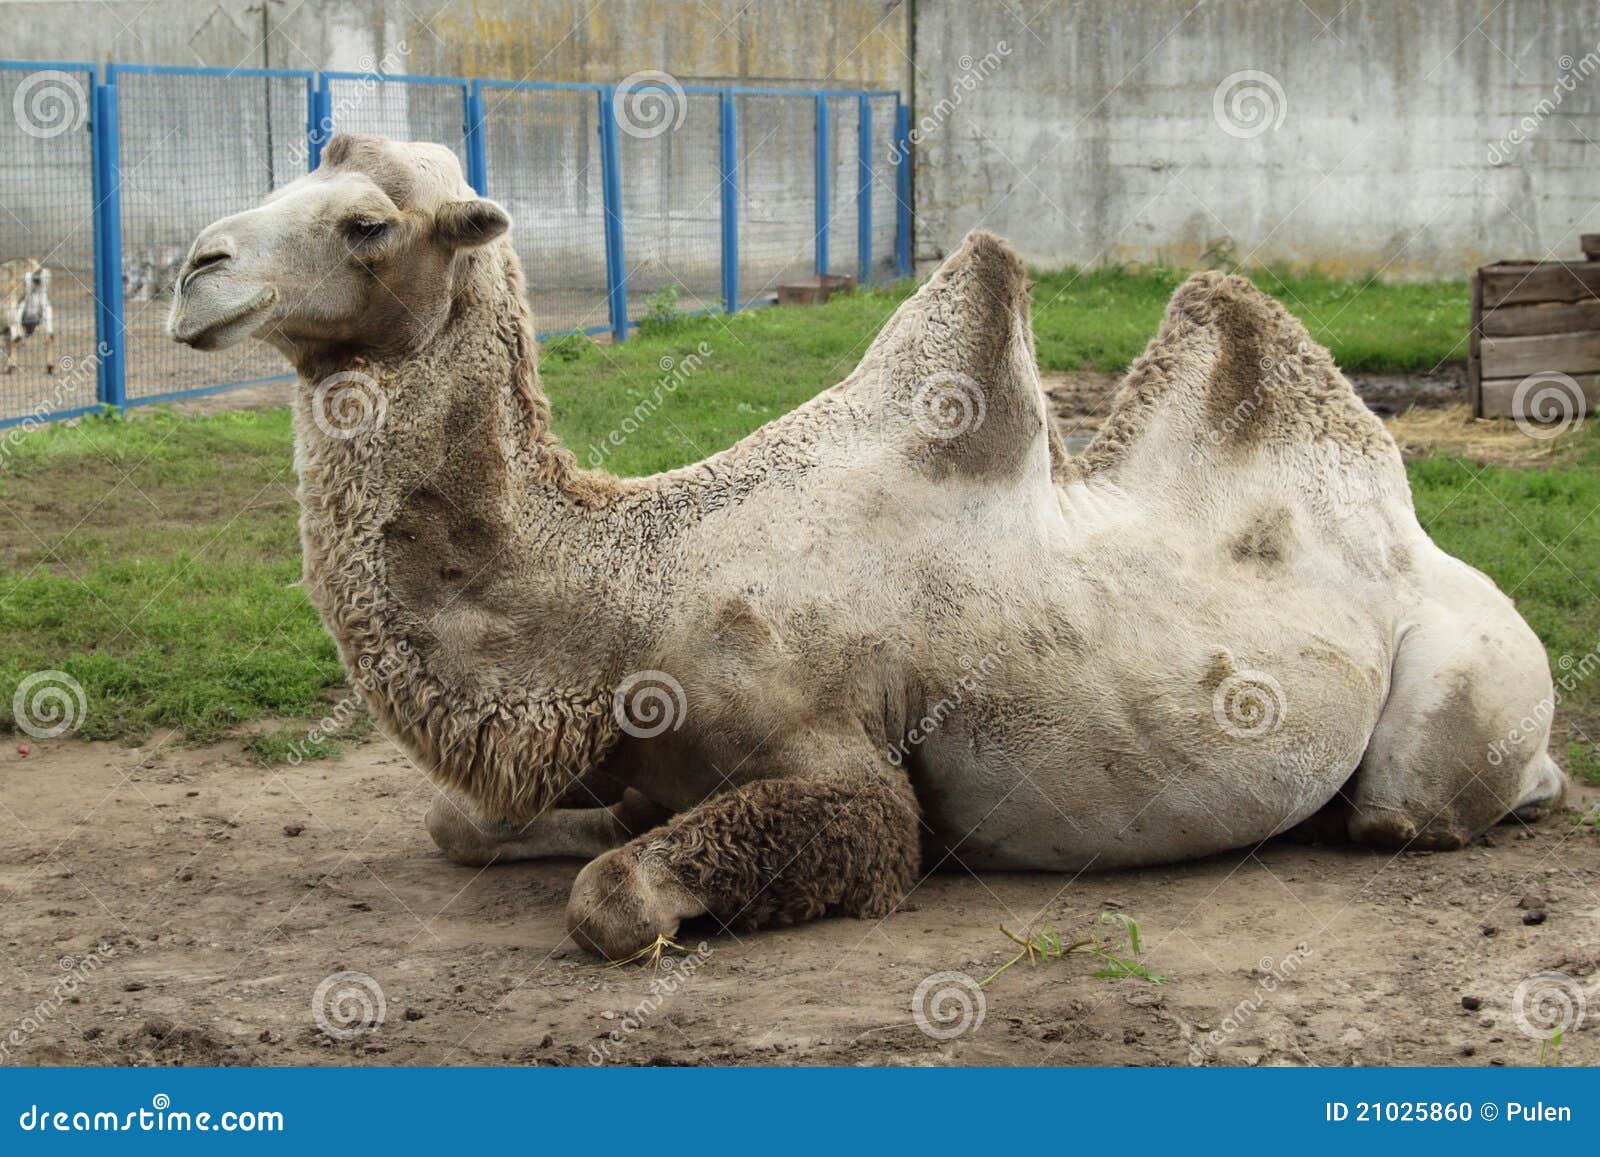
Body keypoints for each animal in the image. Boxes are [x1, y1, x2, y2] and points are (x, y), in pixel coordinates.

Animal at [168, 135, 1564, 959]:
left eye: (364, 224)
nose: (192, 266)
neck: (624, 592)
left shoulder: (849, 775)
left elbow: (616, 898)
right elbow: (462, 822)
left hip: (1462, 680)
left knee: (1402, 807)